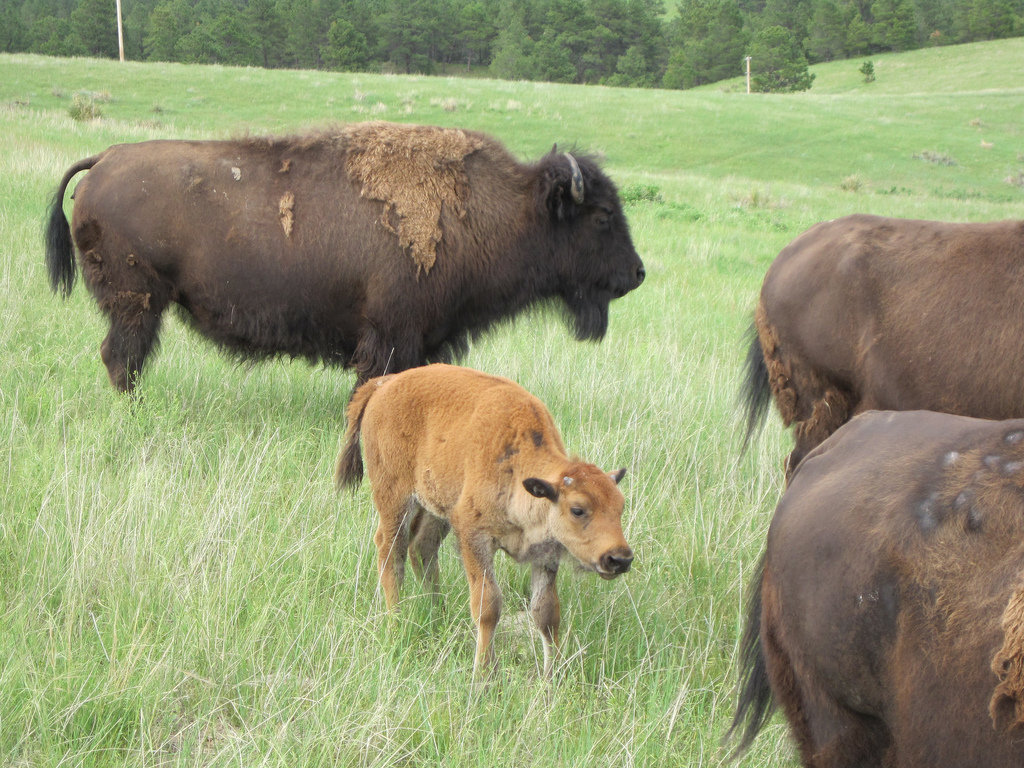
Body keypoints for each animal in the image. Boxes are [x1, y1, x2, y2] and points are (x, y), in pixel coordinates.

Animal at [45, 121, 644, 393]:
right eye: (601, 216)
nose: (636, 273)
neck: (500, 208)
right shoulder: (391, 336)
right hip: (137, 302)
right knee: (122, 356)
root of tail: (104, 160)